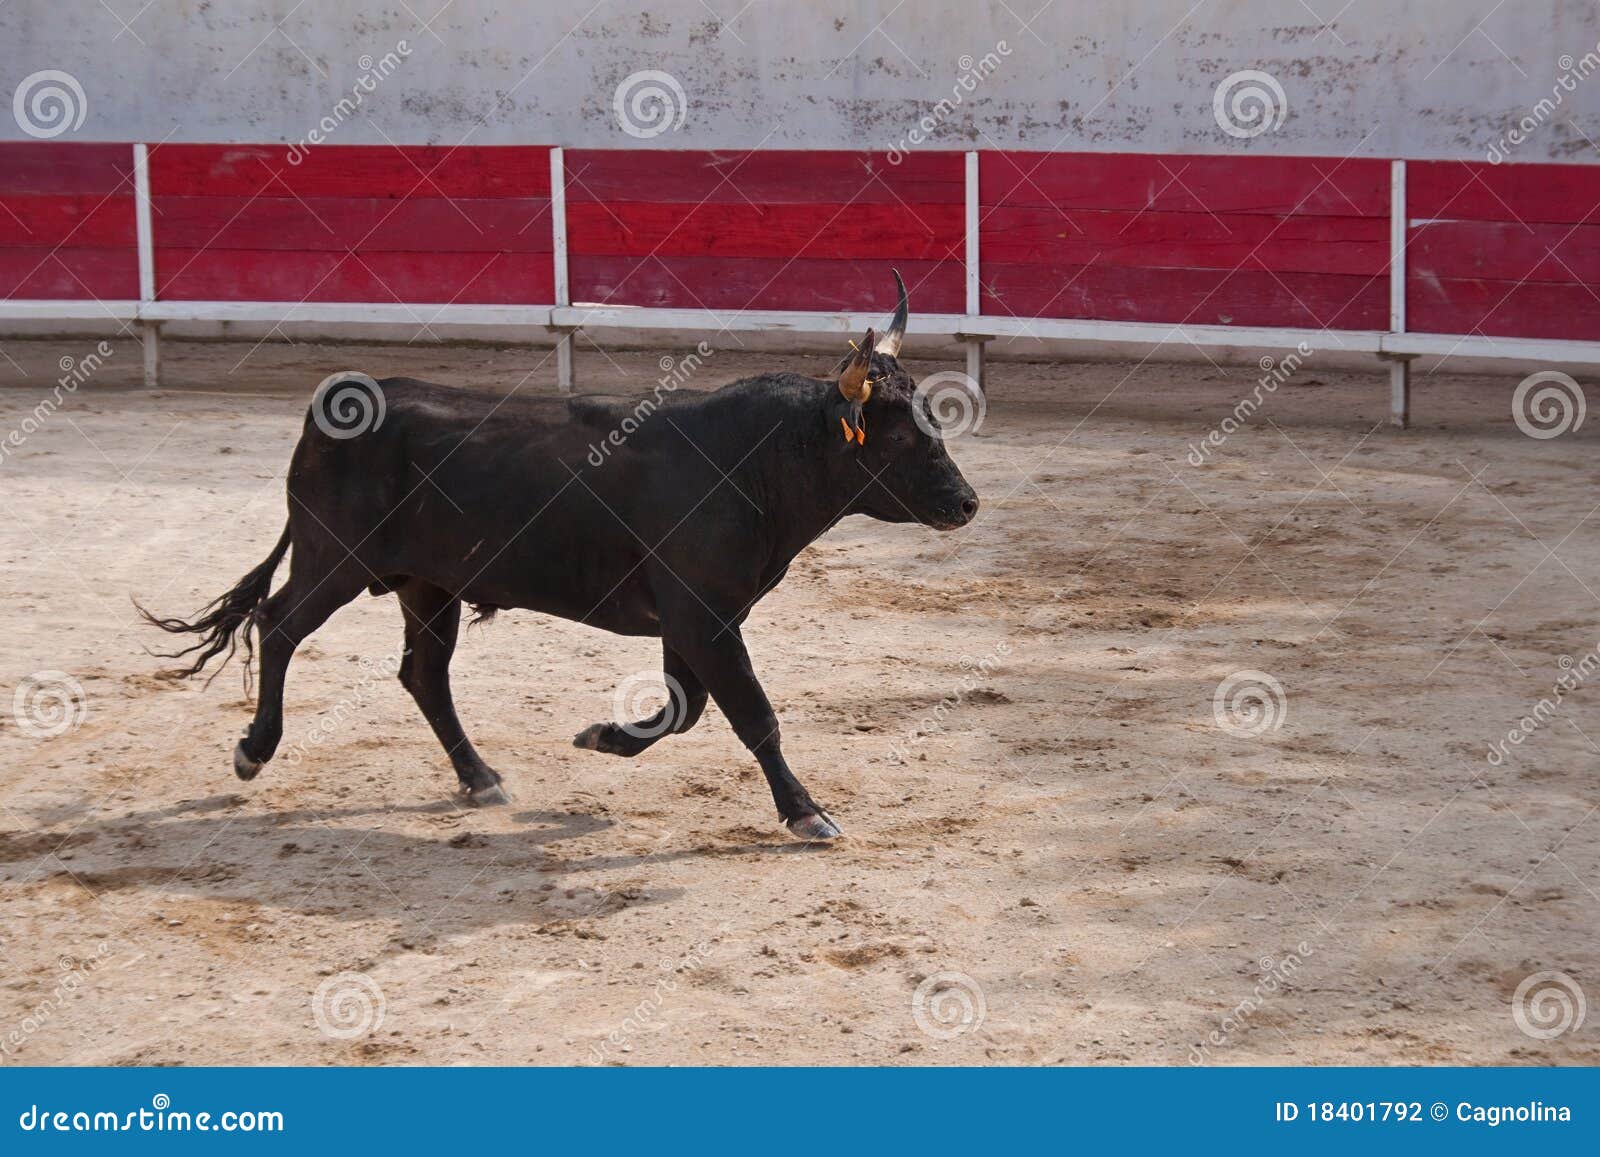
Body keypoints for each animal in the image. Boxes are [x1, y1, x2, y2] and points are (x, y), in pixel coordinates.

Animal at [141, 271, 979, 841]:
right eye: (898, 435)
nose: (966, 502)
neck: (756, 460)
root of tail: (339, 401)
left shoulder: (691, 621)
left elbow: (685, 707)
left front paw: (602, 736)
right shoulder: (705, 616)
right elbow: (752, 713)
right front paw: (806, 813)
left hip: (426, 585)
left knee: (423, 673)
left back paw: (481, 778)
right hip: (332, 558)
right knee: (280, 625)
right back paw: (254, 749)